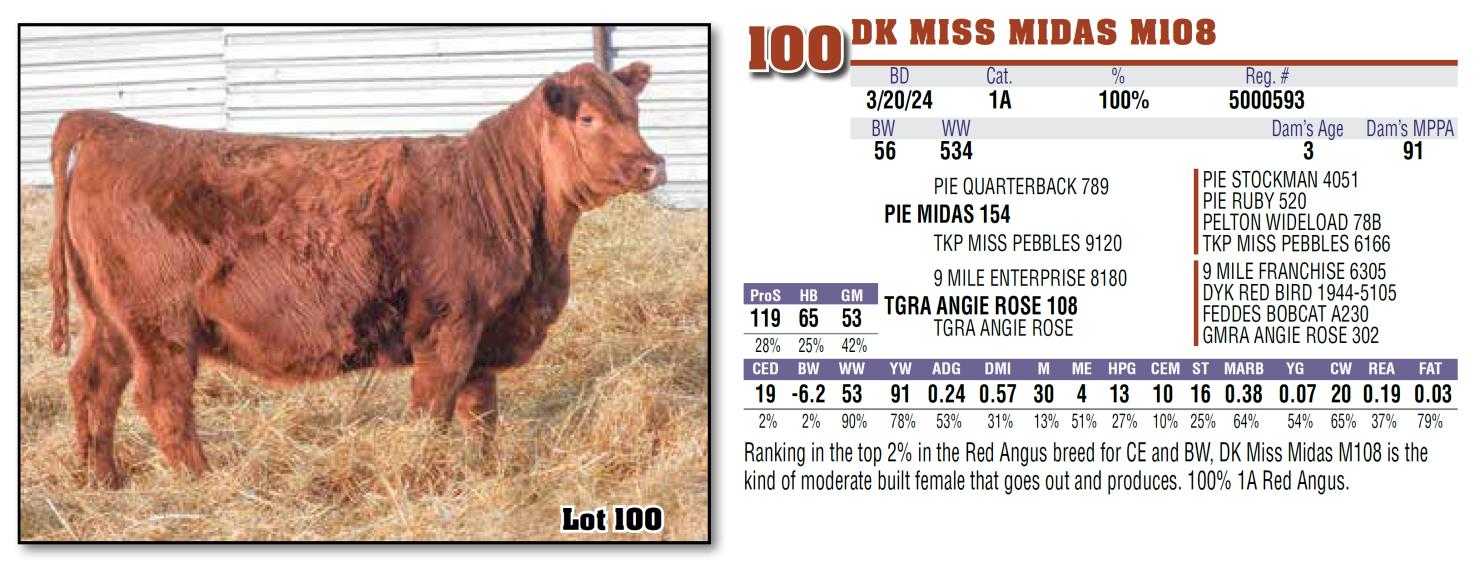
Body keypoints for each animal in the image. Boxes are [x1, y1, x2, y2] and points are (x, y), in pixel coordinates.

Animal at [46, 62, 666, 487]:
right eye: (587, 118)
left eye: (634, 115)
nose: (652, 164)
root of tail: (106, 126)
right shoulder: (448, 327)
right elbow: (433, 409)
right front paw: (425, 472)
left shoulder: (485, 332)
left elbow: (480, 413)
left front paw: (481, 471)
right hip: (161, 323)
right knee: (163, 399)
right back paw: (203, 481)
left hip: (110, 321)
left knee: (94, 383)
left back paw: (104, 480)